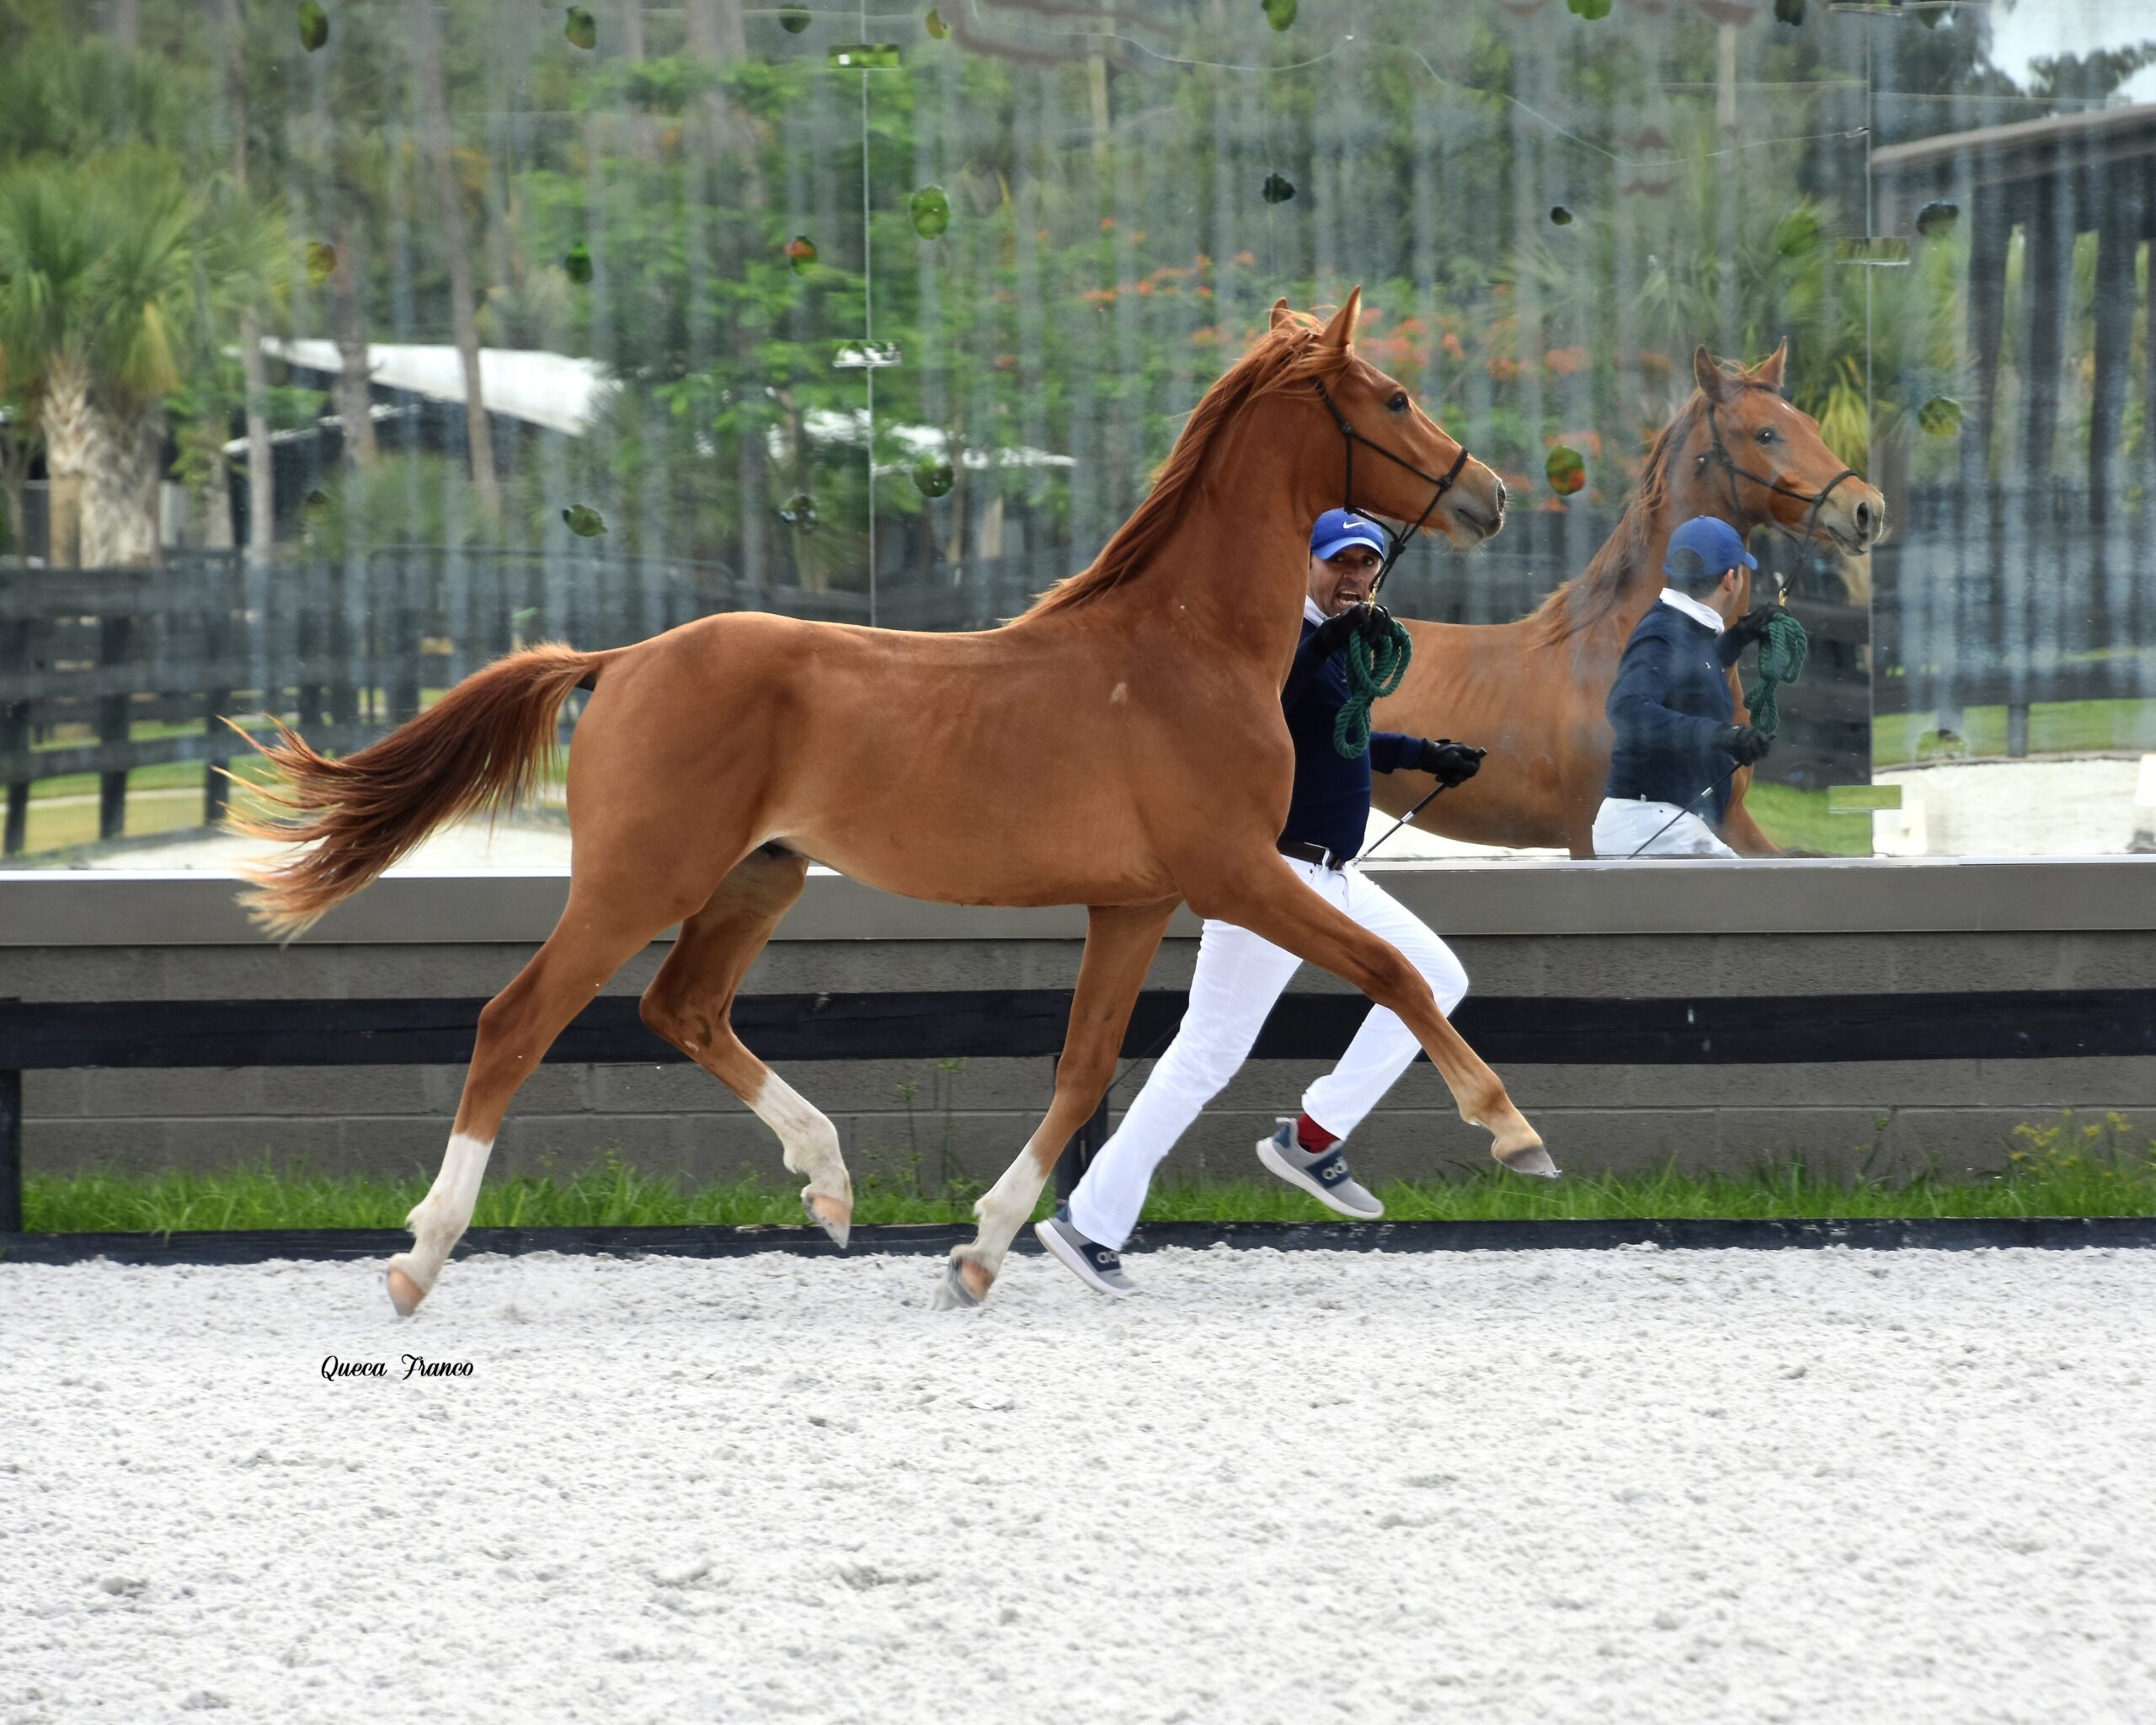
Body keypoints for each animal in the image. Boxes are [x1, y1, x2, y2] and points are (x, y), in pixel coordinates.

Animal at [230, 289, 1550, 1318]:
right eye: (1392, 398)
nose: (1489, 493)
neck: (1183, 650)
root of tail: (621, 660)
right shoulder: (1237, 869)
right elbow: (1390, 971)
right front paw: (1511, 1131)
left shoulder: (1135, 901)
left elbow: (1084, 1069)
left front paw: (979, 1253)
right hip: (639, 879)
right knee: (517, 1021)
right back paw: (420, 1258)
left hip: (758, 876)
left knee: (681, 1008)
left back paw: (829, 1182)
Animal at [1369, 342, 1885, 858]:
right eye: (1766, 434)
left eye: (1812, 425)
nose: (1868, 509)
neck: (1623, 642)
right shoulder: (1589, 835)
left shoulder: (1729, 818)